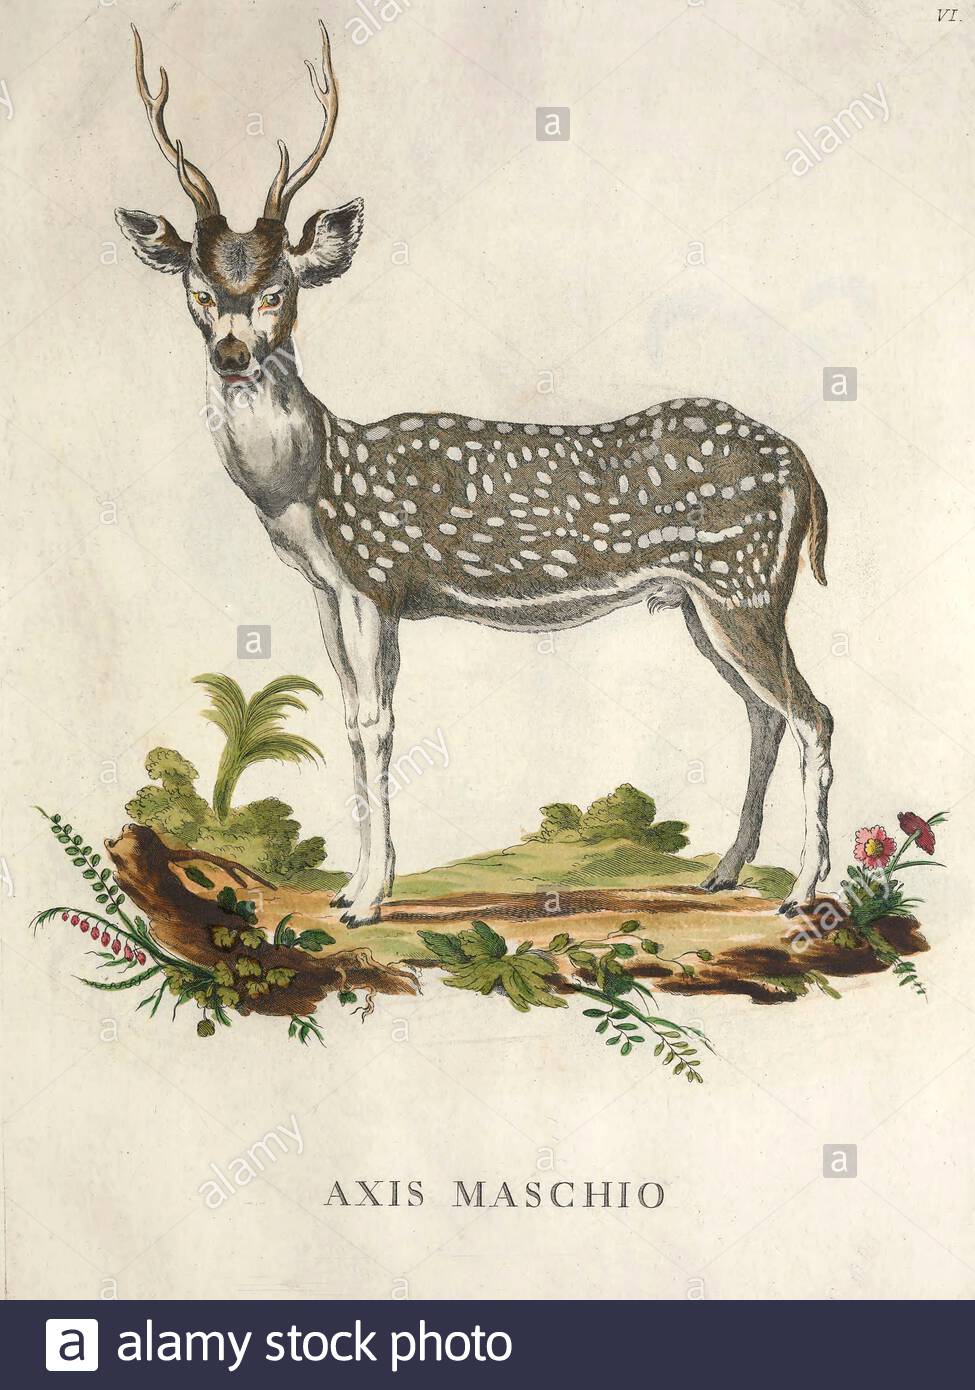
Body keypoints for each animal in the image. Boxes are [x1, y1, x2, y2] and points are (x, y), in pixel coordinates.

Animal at [116, 22, 833, 927]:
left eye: (280, 286)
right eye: (198, 288)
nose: (234, 353)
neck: (311, 487)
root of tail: (802, 465)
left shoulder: (377, 580)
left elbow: (379, 724)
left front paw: (365, 899)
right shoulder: (325, 591)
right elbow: (349, 721)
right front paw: (354, 887)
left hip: (742, 585)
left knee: (812, 716)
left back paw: (803, 890)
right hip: (704, 603)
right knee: (763, 717)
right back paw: (724, 872)